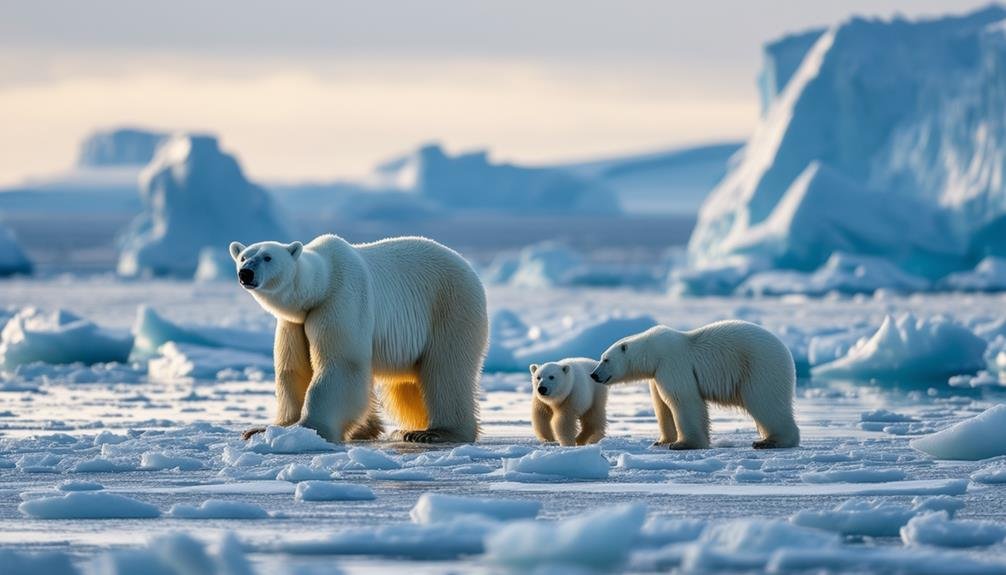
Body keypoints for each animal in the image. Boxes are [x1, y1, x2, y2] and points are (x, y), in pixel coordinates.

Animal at [229, 234, 489, 444]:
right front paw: (263, 429)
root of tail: (468, 267)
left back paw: (434, 432)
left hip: (450, 306)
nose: (246, 273)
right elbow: (292, 370)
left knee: (446, 369)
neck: (321, 284)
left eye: (267, 257)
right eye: (243, 257)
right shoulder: (295, 323)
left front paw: (305, 429)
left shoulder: (340, 301)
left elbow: (341, 366)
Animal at [590, 320, 799, 450]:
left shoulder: (672, 364)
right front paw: (662, 440)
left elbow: (682, 400)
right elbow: (661, 405)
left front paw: (683, 444)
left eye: (605, 360)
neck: (653, 352)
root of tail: (787, 353)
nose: (594, 374)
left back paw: (771, 441)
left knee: (765, 402)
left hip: (760, 367)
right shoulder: (656, 375)